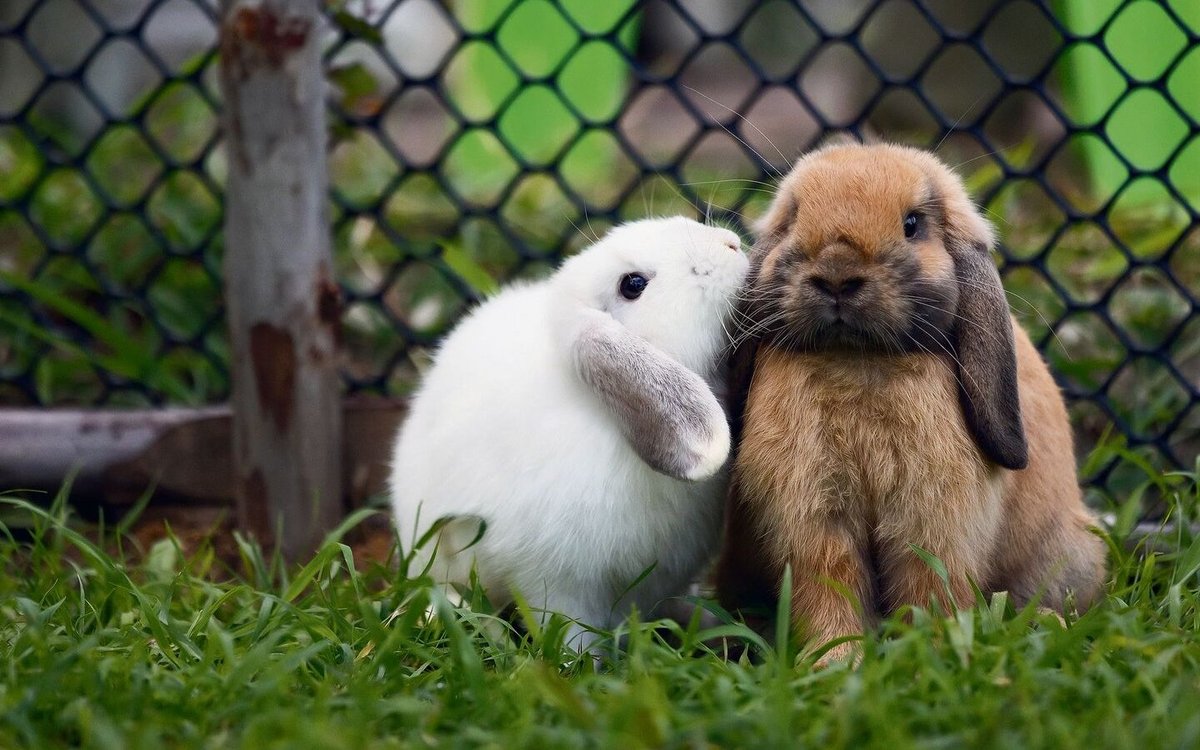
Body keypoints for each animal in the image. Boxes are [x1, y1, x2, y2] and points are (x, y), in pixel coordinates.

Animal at [714, 141, 1106, 663]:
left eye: (913, 224)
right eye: (795, 217)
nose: (837, 275)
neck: (857, 360)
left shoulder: (932, 520)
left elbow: (929, 586)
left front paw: (930, 651)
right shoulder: (814, 516)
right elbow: (830, 583)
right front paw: (836, 659)